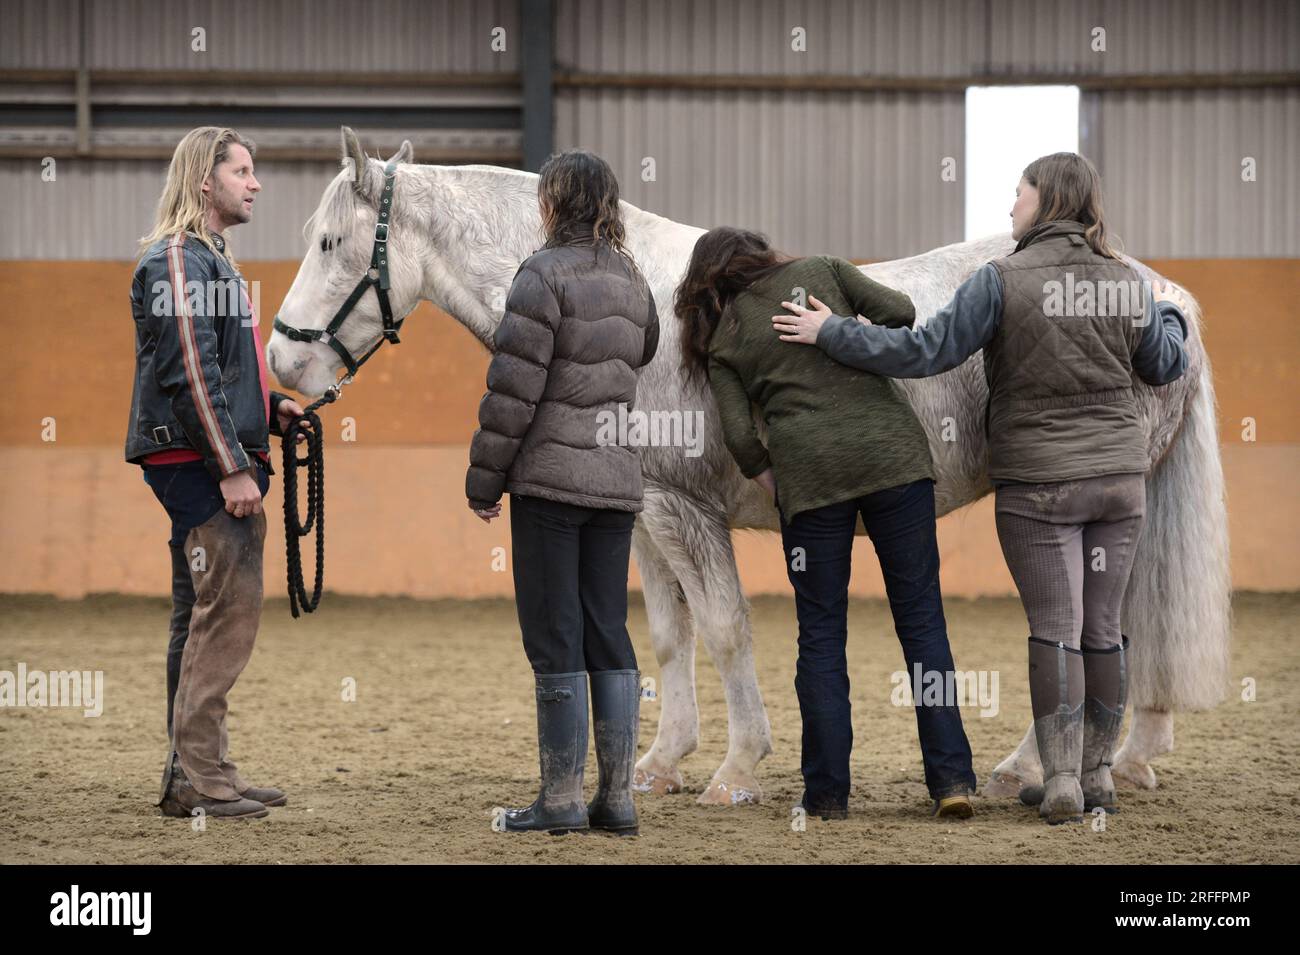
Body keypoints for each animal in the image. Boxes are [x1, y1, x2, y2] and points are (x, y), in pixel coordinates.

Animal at [267, 129, 1231, 806]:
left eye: (328, 244)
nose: (281, 363)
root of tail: (1161, 298)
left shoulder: (684, 512)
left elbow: (725, 628)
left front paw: (738, 766)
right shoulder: (643, 515)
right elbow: (668, 635)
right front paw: (659, 763)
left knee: (1087, 626)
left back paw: (1030, 768)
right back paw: (1125, 761)